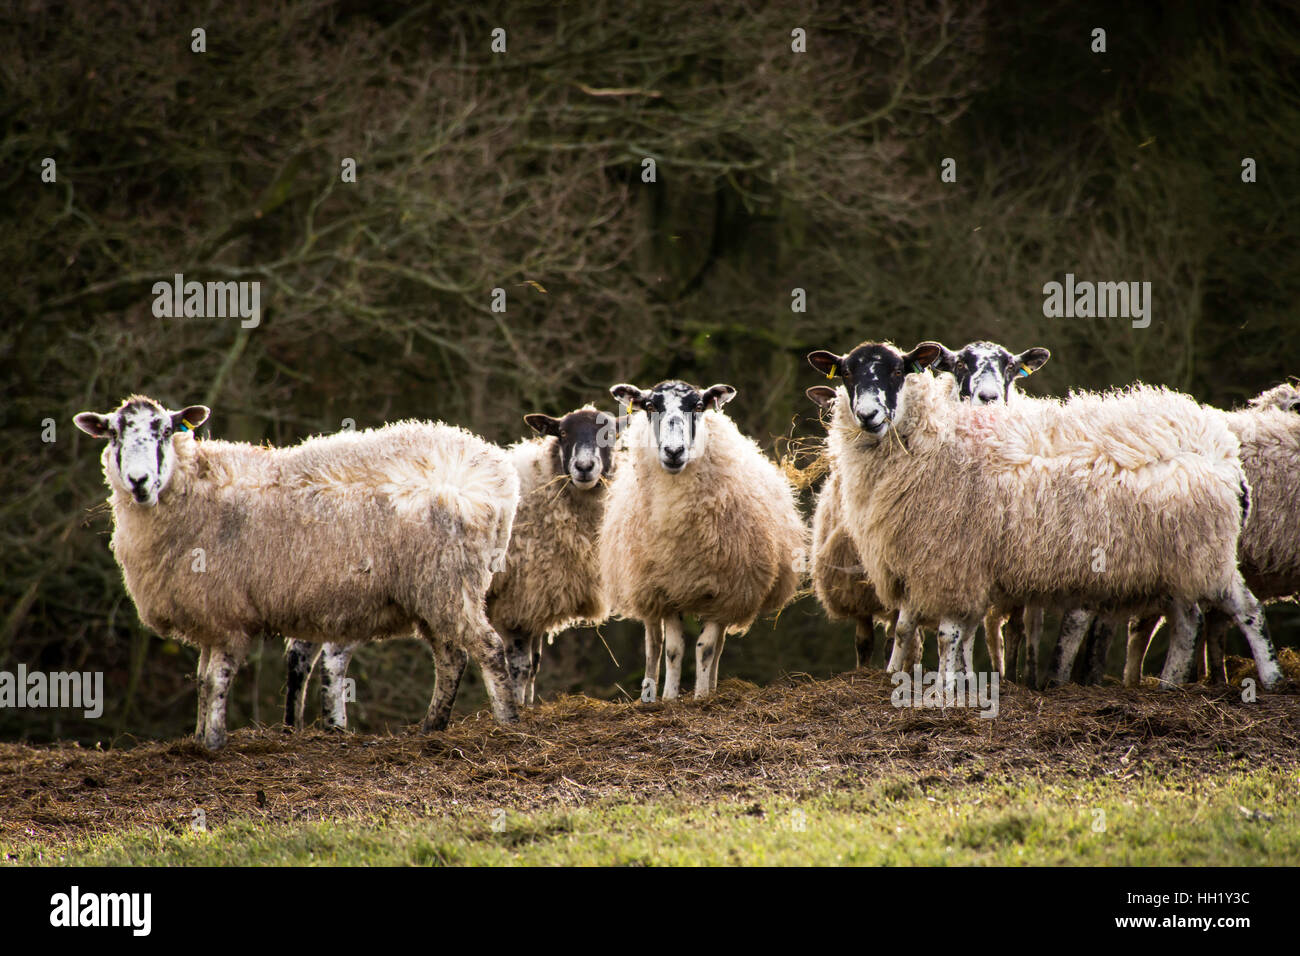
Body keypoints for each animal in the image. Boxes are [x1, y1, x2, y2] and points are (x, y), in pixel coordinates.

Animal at [73, 396, 521, 750]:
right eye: (113, 435)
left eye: (164, 431)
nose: (139, 481)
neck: (191, 490)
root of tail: (498, 475)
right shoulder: (210, 613)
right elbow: (201, 679)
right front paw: (200, 738)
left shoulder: (228, 612)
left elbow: (216, 679)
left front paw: (213, 744)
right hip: (431, 591)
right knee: (451, 656)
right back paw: (432, 727)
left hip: (448, 581)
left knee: (487, 648)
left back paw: (508, 724)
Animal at [599, 380, 806, 701]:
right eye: (650, 406)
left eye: (698, 407)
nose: (674, 451)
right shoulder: (666, 590)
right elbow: (673, 650)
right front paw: (670, 698)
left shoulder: (725, 590)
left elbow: (706, 649)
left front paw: (701, 698)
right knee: (657, 644)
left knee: (717, 646)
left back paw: (710, 688)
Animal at [810, 342, 1284, 690]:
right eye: (847, 373)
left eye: (897, 371)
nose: (868, 415)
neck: (935, 438)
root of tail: (1222, 448)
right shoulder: (949, 562)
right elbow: (939, 630)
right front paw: (951, 680)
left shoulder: (952, 559)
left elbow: (947, 634)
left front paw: (946, 687)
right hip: (1175, 557)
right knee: (1188, 621)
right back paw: (1169, 685)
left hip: (1205, 550)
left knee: (1245, 609)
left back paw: (1271, 678)